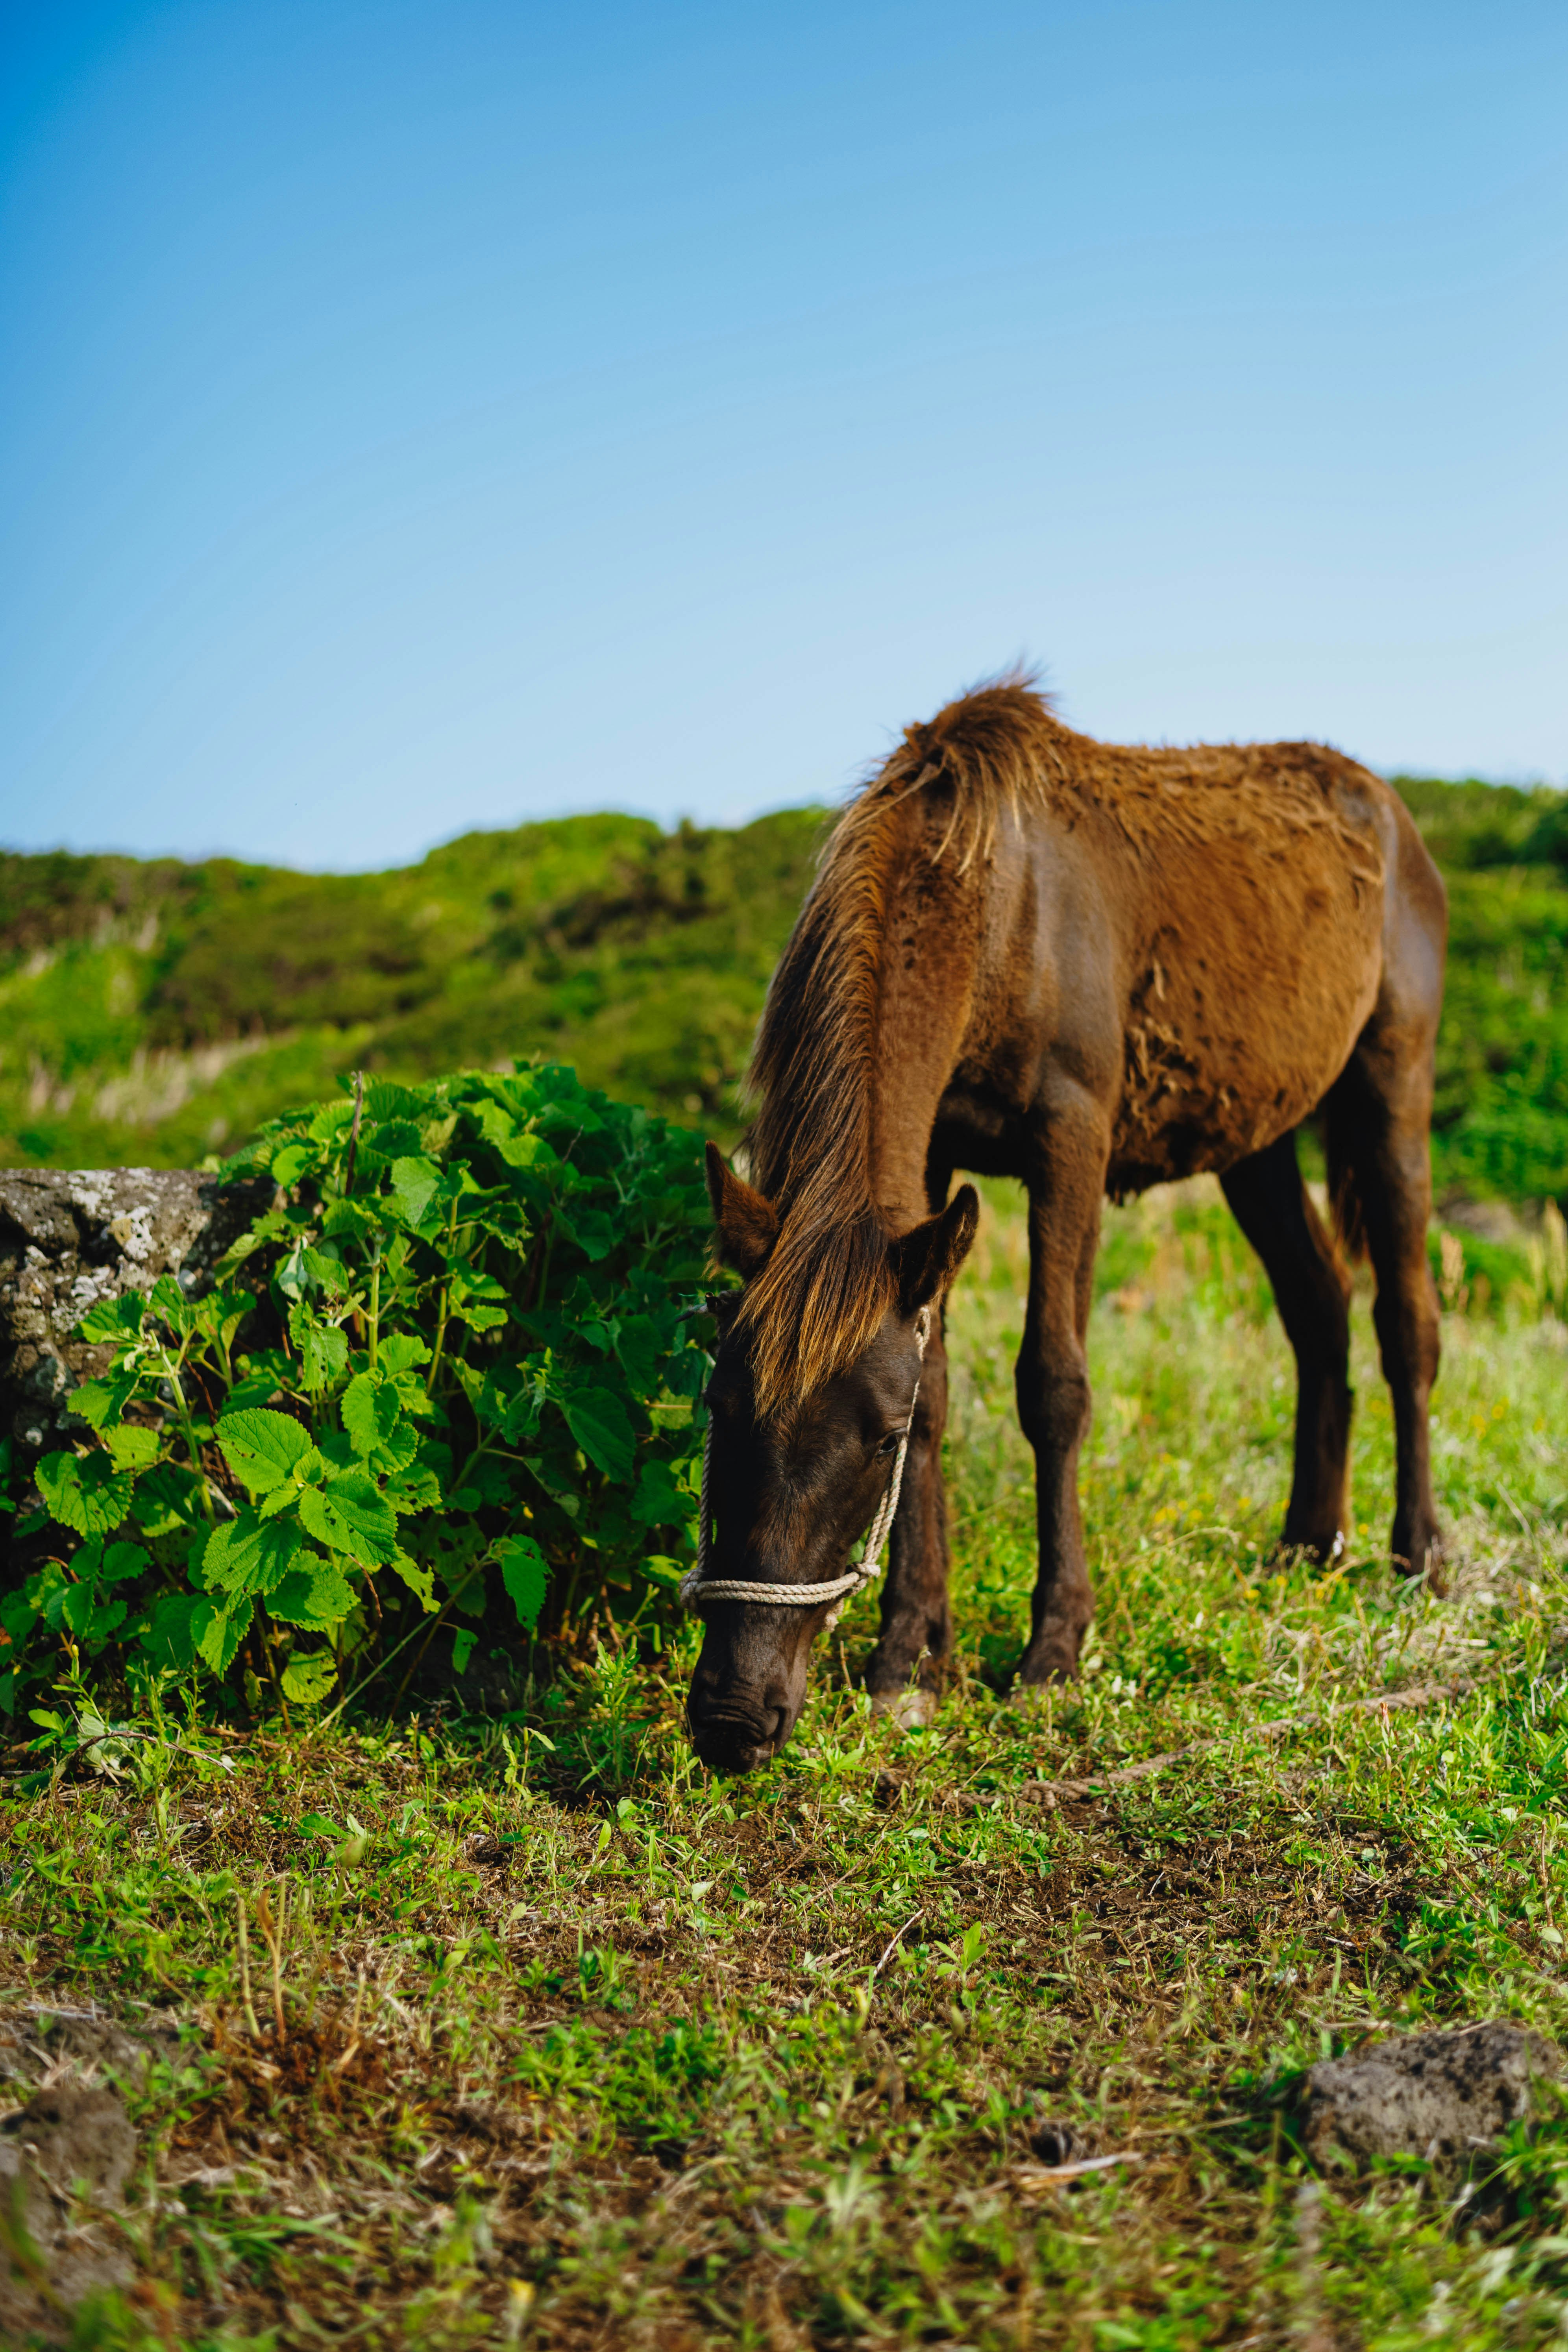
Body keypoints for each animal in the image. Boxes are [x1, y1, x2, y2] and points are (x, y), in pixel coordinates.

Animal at [683, 676, 1447, 1775]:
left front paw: (1054, 1649)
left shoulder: (1070, 1140)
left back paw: (1417, 1554)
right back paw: (1308, 1542)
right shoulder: (930, 1168)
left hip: (1393, 1090)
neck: (998, 903)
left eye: (876, 1439)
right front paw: (910, 1656)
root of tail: (1383, 807)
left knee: (1405, 1322)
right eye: (719, 1404)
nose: (733, 1719)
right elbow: (942, 1387)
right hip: (1255, 1141)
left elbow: (1053, 1385)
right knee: (1320, 1309)